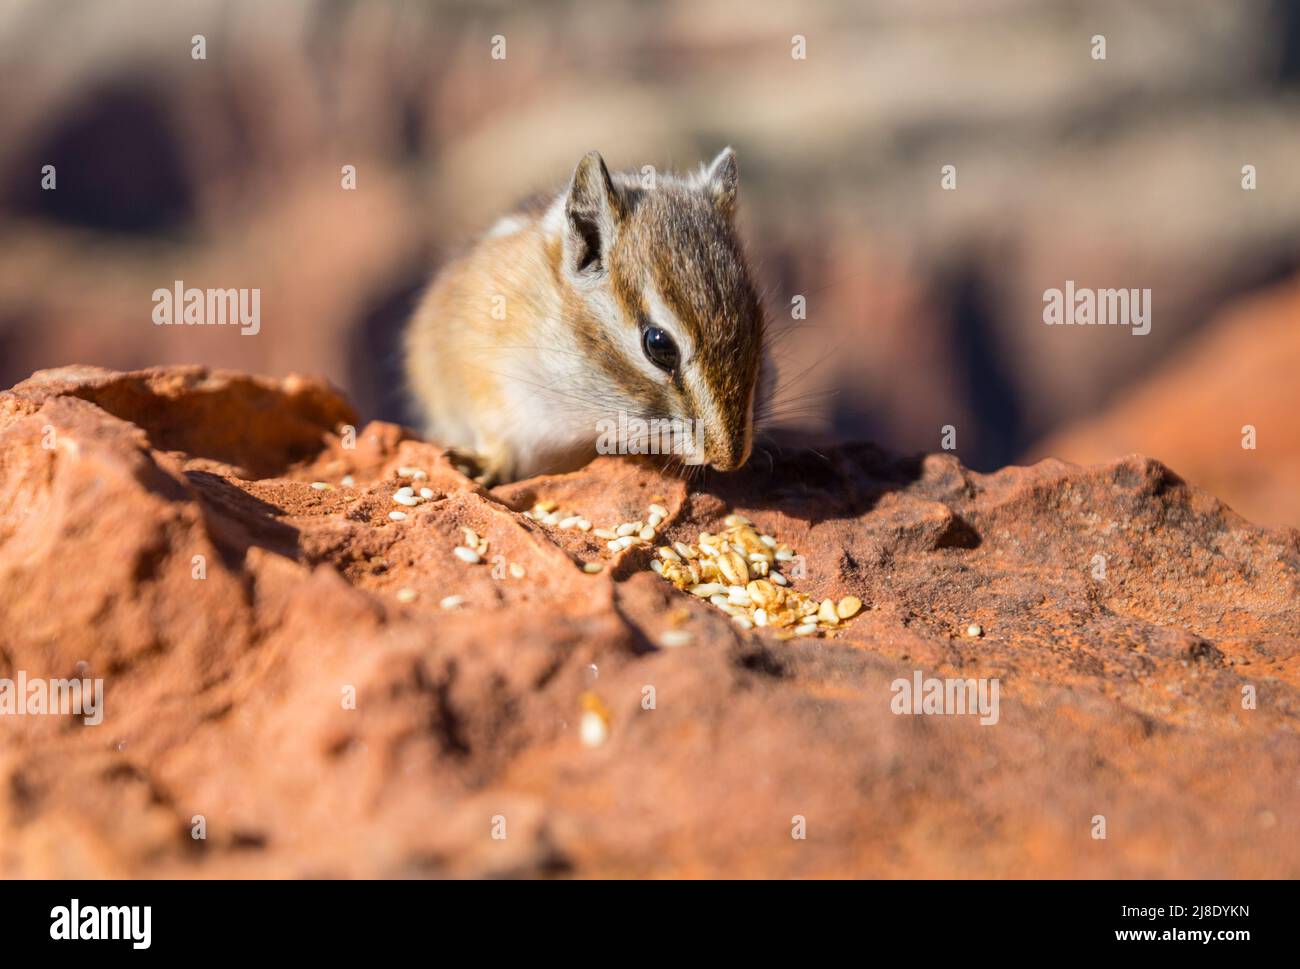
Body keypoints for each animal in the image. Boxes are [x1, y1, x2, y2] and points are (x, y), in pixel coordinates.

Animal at [403, 148, 767, 484]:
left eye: (758, 326)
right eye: (659, 345)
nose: (730, 458)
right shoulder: (482, 374)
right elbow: (496, 435)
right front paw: (487, 465)